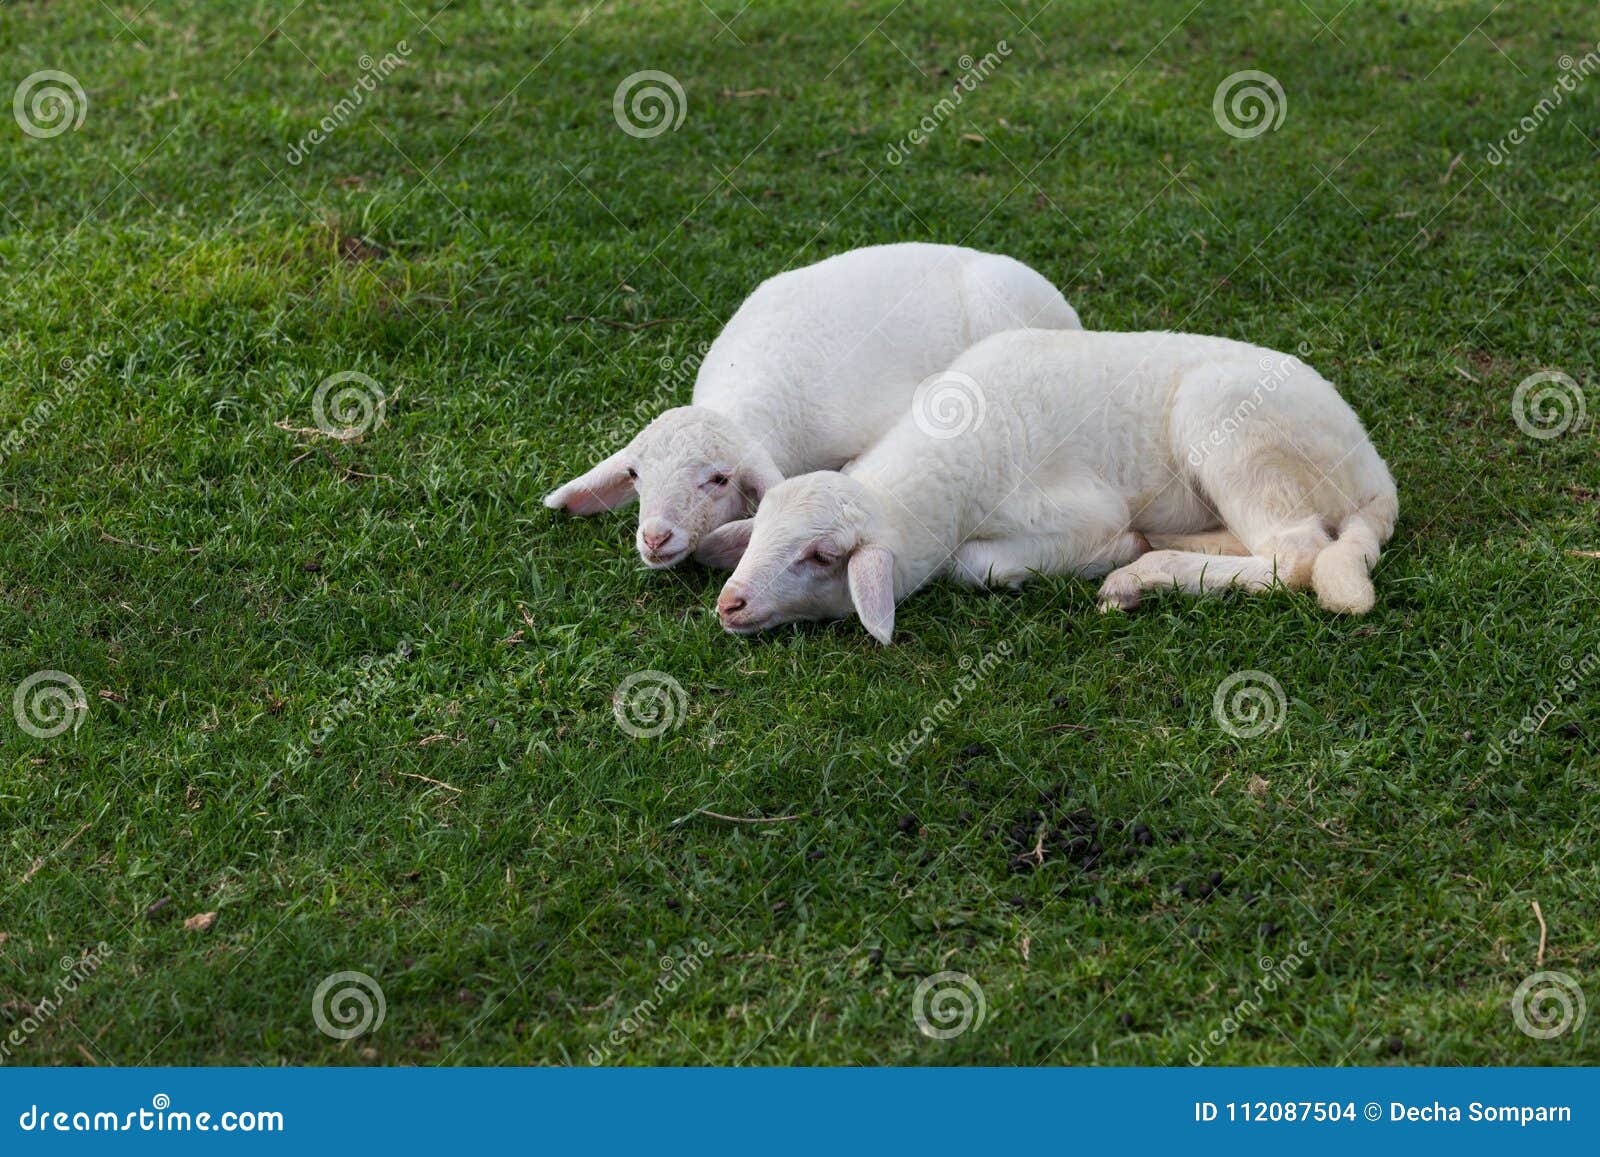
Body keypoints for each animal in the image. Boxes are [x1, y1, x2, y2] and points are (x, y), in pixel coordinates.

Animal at [705, 328, 1397, 643]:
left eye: (821, 556)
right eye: (759, 533)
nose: (728, 604)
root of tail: (1374, 475)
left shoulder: (1077, 512)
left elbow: (974, 567)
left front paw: (1115, 553)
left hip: (1234, 434)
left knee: (1296, 557)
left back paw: (1141, 573)